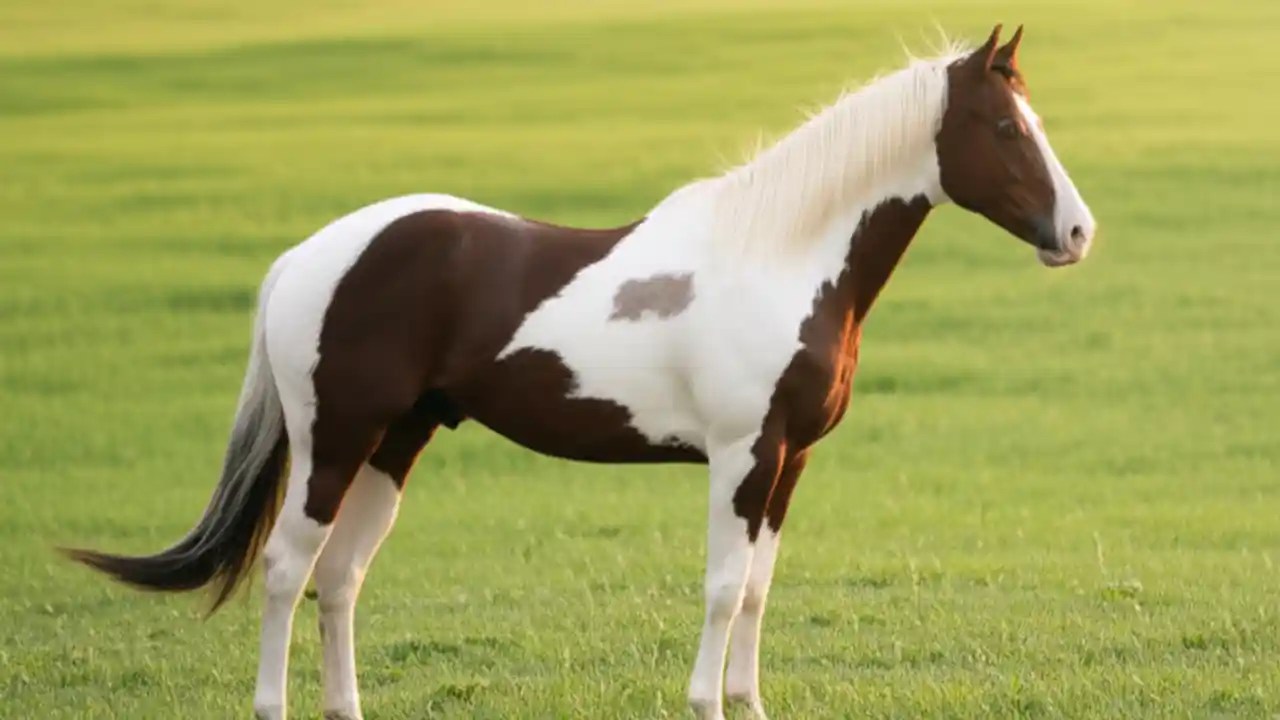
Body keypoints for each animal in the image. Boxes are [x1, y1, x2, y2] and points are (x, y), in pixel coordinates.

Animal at [66, 24, 1095, 720]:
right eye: (1005, 127)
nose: (1078, 233)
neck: (779, 255)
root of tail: (305, 258)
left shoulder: (789, 461)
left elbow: (758, 589)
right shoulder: (741, 456)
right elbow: (723, 588)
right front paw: (707, 703)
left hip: (396, 442)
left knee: (343, 577)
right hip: (336, 439)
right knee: (289, 569)